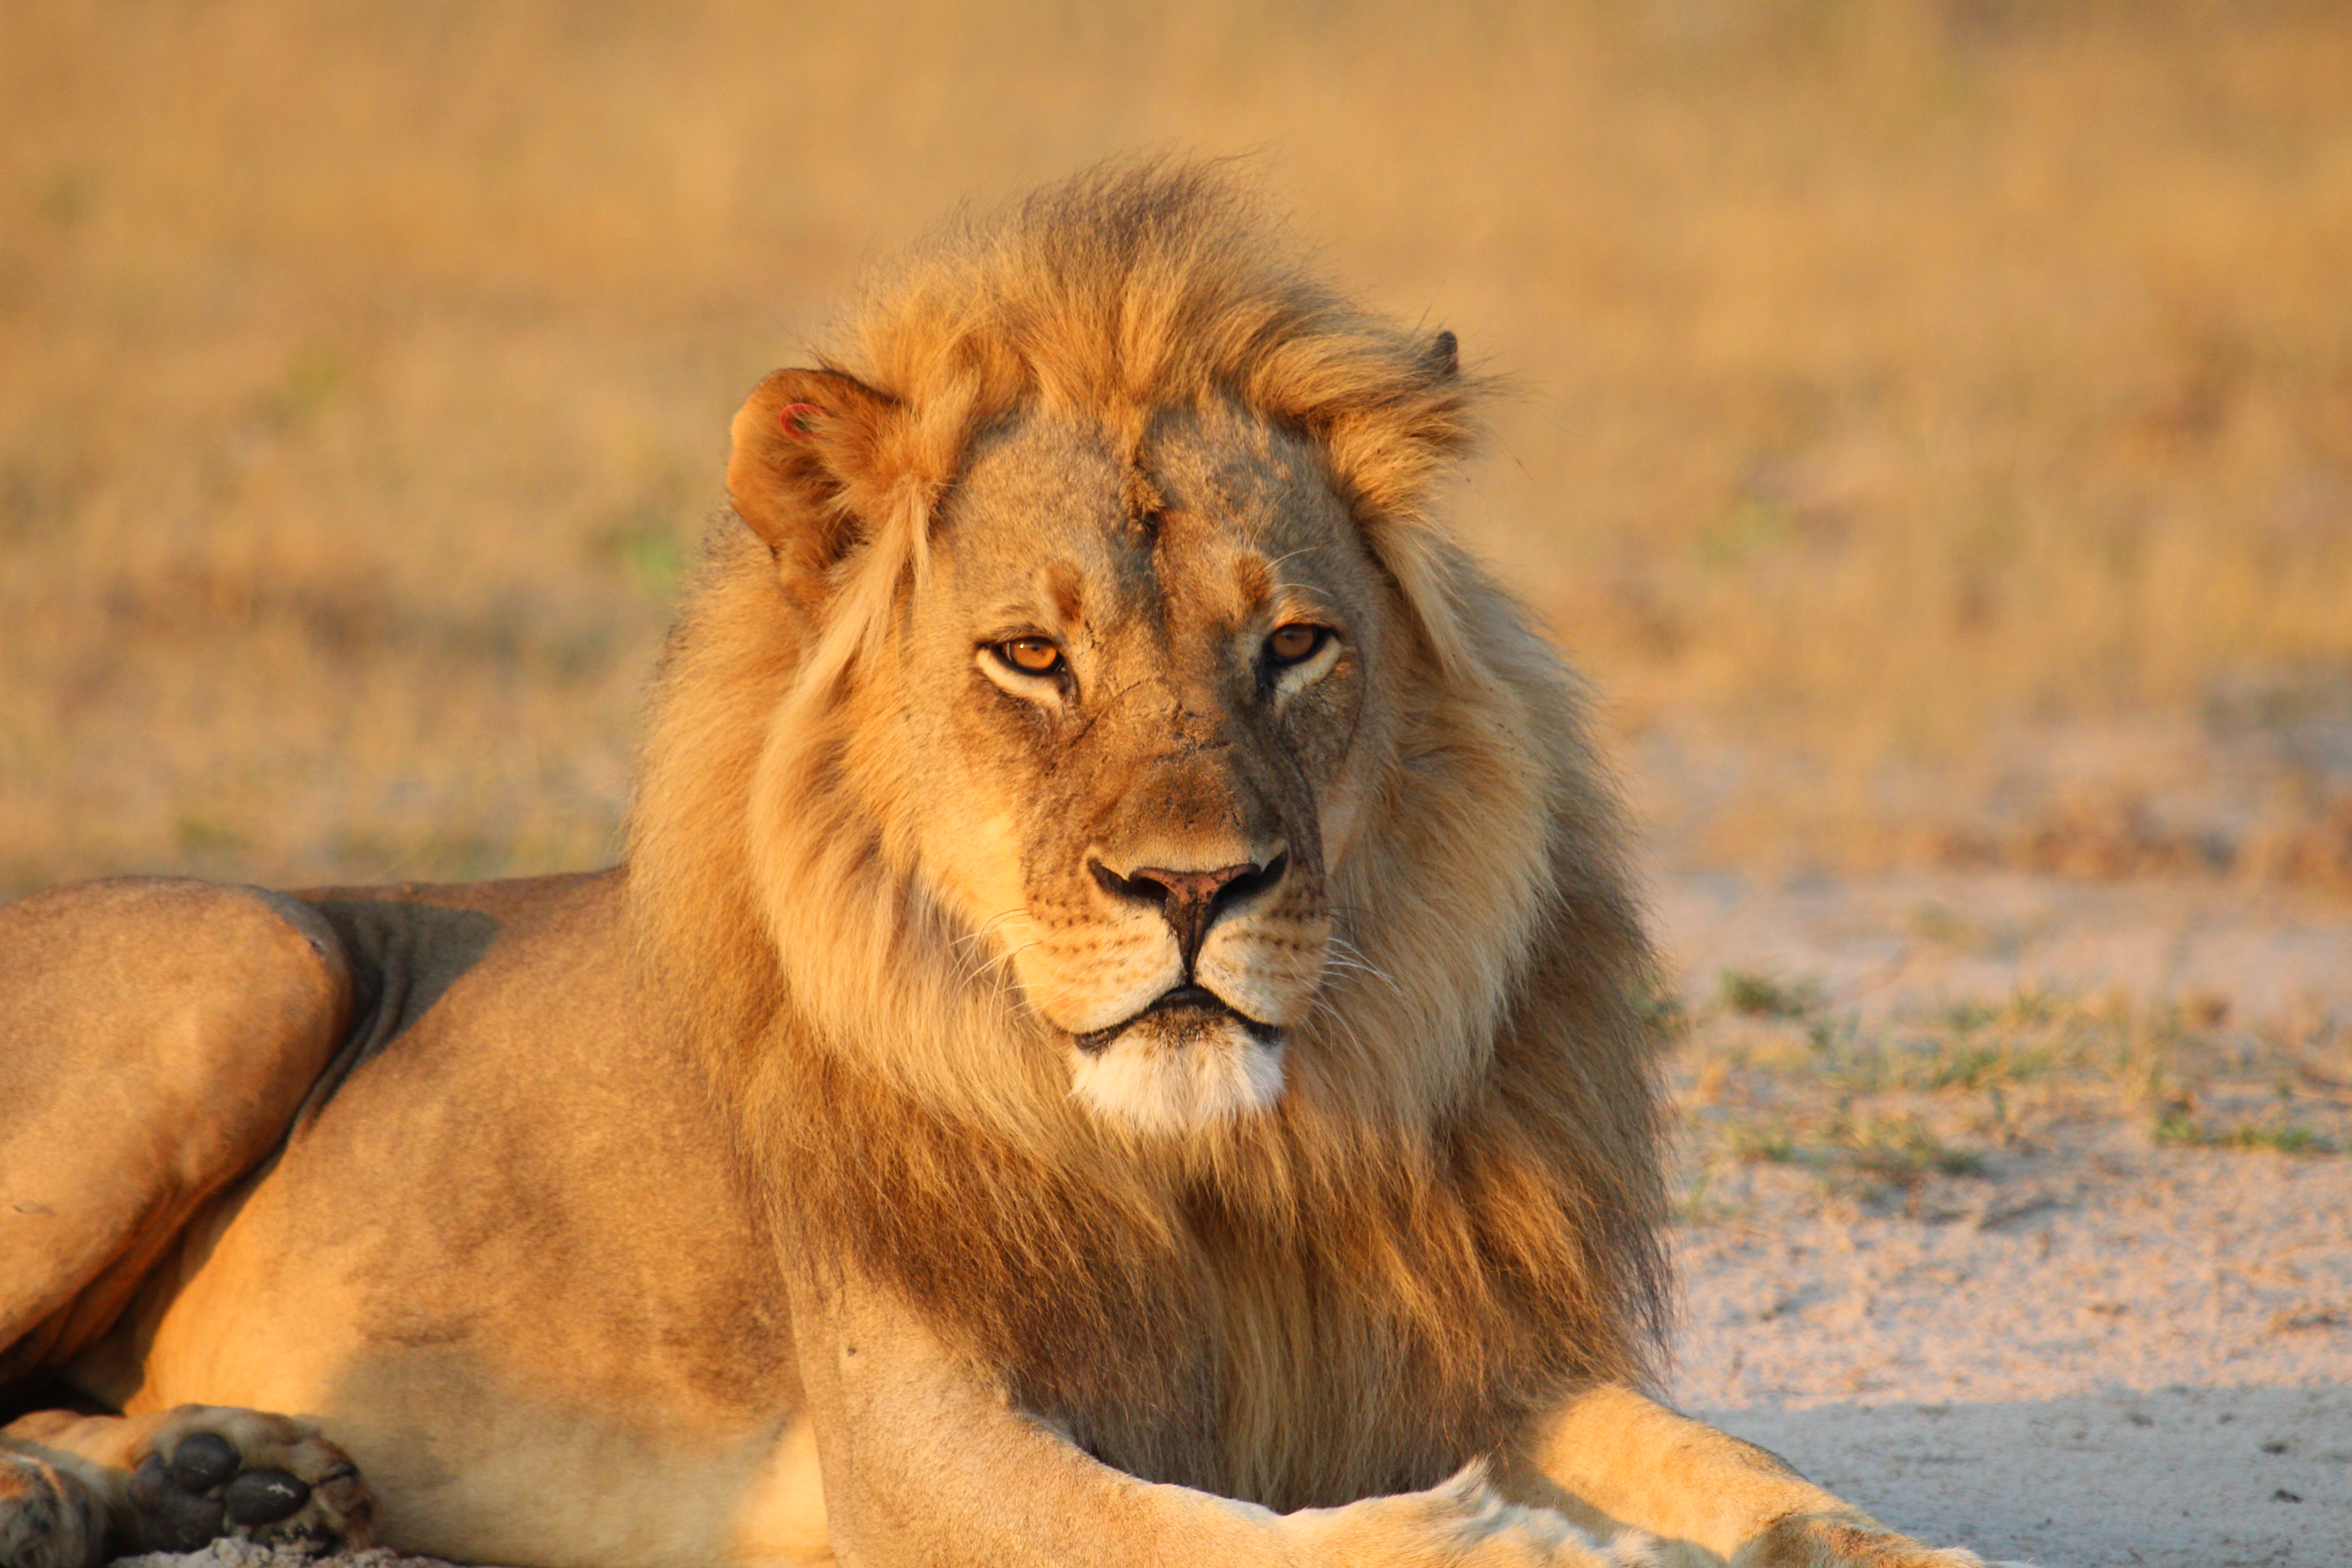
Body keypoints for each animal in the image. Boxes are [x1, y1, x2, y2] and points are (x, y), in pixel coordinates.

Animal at [0, 163, 2015, 1568]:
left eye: (1293, 644)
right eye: (1032, 658)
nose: (1197, 892)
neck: (1217, 1178)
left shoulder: (1435, 1354)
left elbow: (1736, 1464)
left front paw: (1884, 1545)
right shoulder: (913, 1451)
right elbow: (1224, 1537)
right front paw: (1514, 1544)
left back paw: (211, 1469)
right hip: (249, 953)